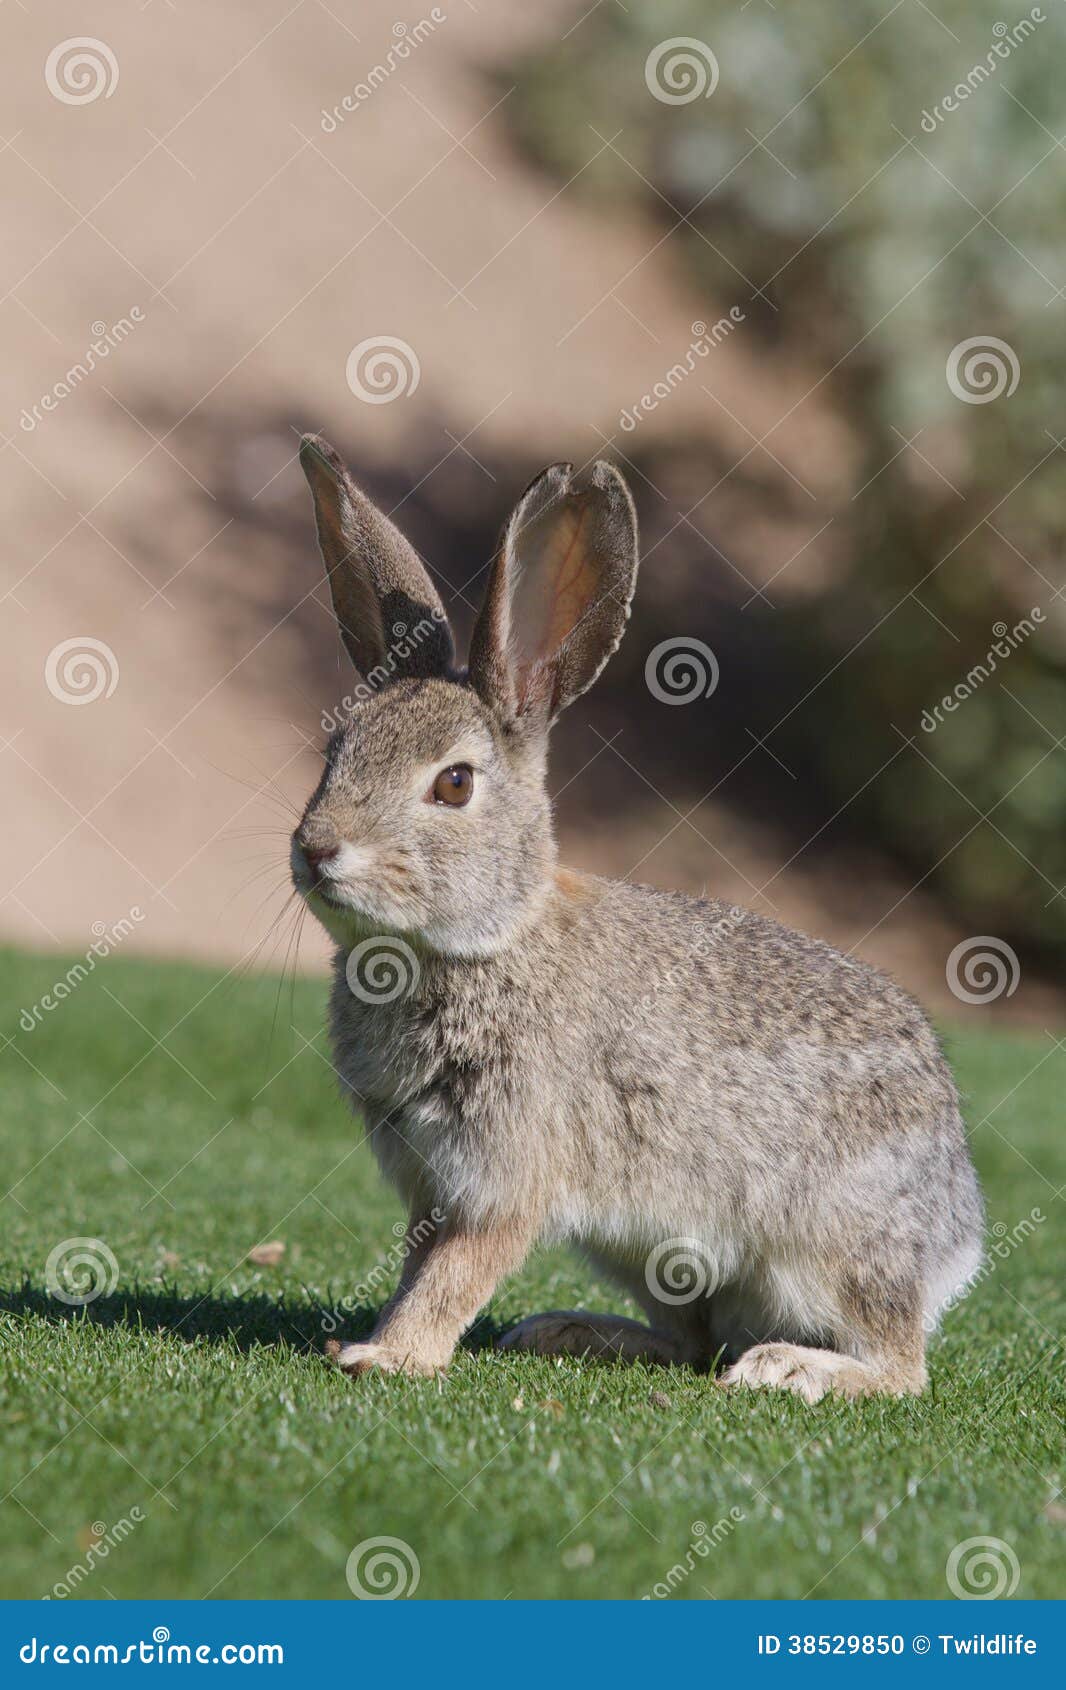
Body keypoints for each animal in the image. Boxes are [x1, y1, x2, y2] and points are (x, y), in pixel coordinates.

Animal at [290, 433, 985, 1403]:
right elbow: (419, 1266)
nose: (316, 850)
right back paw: (571, 1332)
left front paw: (387, 1355)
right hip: (647, 1253)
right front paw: (386, 1339)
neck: (494, 937)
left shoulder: (506, 1172)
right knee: (693, 1343)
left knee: (898, 1366)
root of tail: (958, 1235)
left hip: (829, 1249)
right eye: (333, 751)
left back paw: (791, 1368)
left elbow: (457, 1271)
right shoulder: (431, 1181)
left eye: (454, 784)